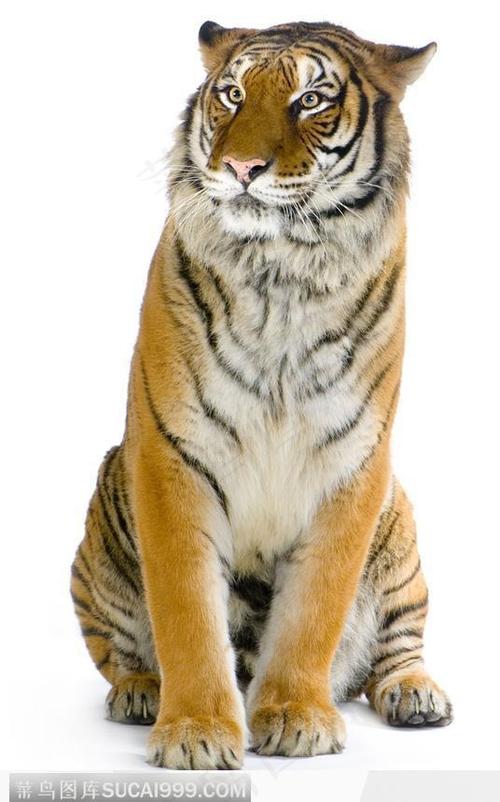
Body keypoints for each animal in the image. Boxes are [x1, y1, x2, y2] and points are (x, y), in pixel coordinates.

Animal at [71, 20, 452, 770]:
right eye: (232, 95)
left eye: (310, 100)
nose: (242, 168)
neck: (282, 269)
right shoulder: (172, 456)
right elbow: (186, 612)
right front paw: (194, 732)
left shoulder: (352, 466)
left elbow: (315, 609)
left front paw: (296, 718)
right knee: (118, 651)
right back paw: (139, 692)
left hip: (400, 537)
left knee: (396, 648)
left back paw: (416, 695)